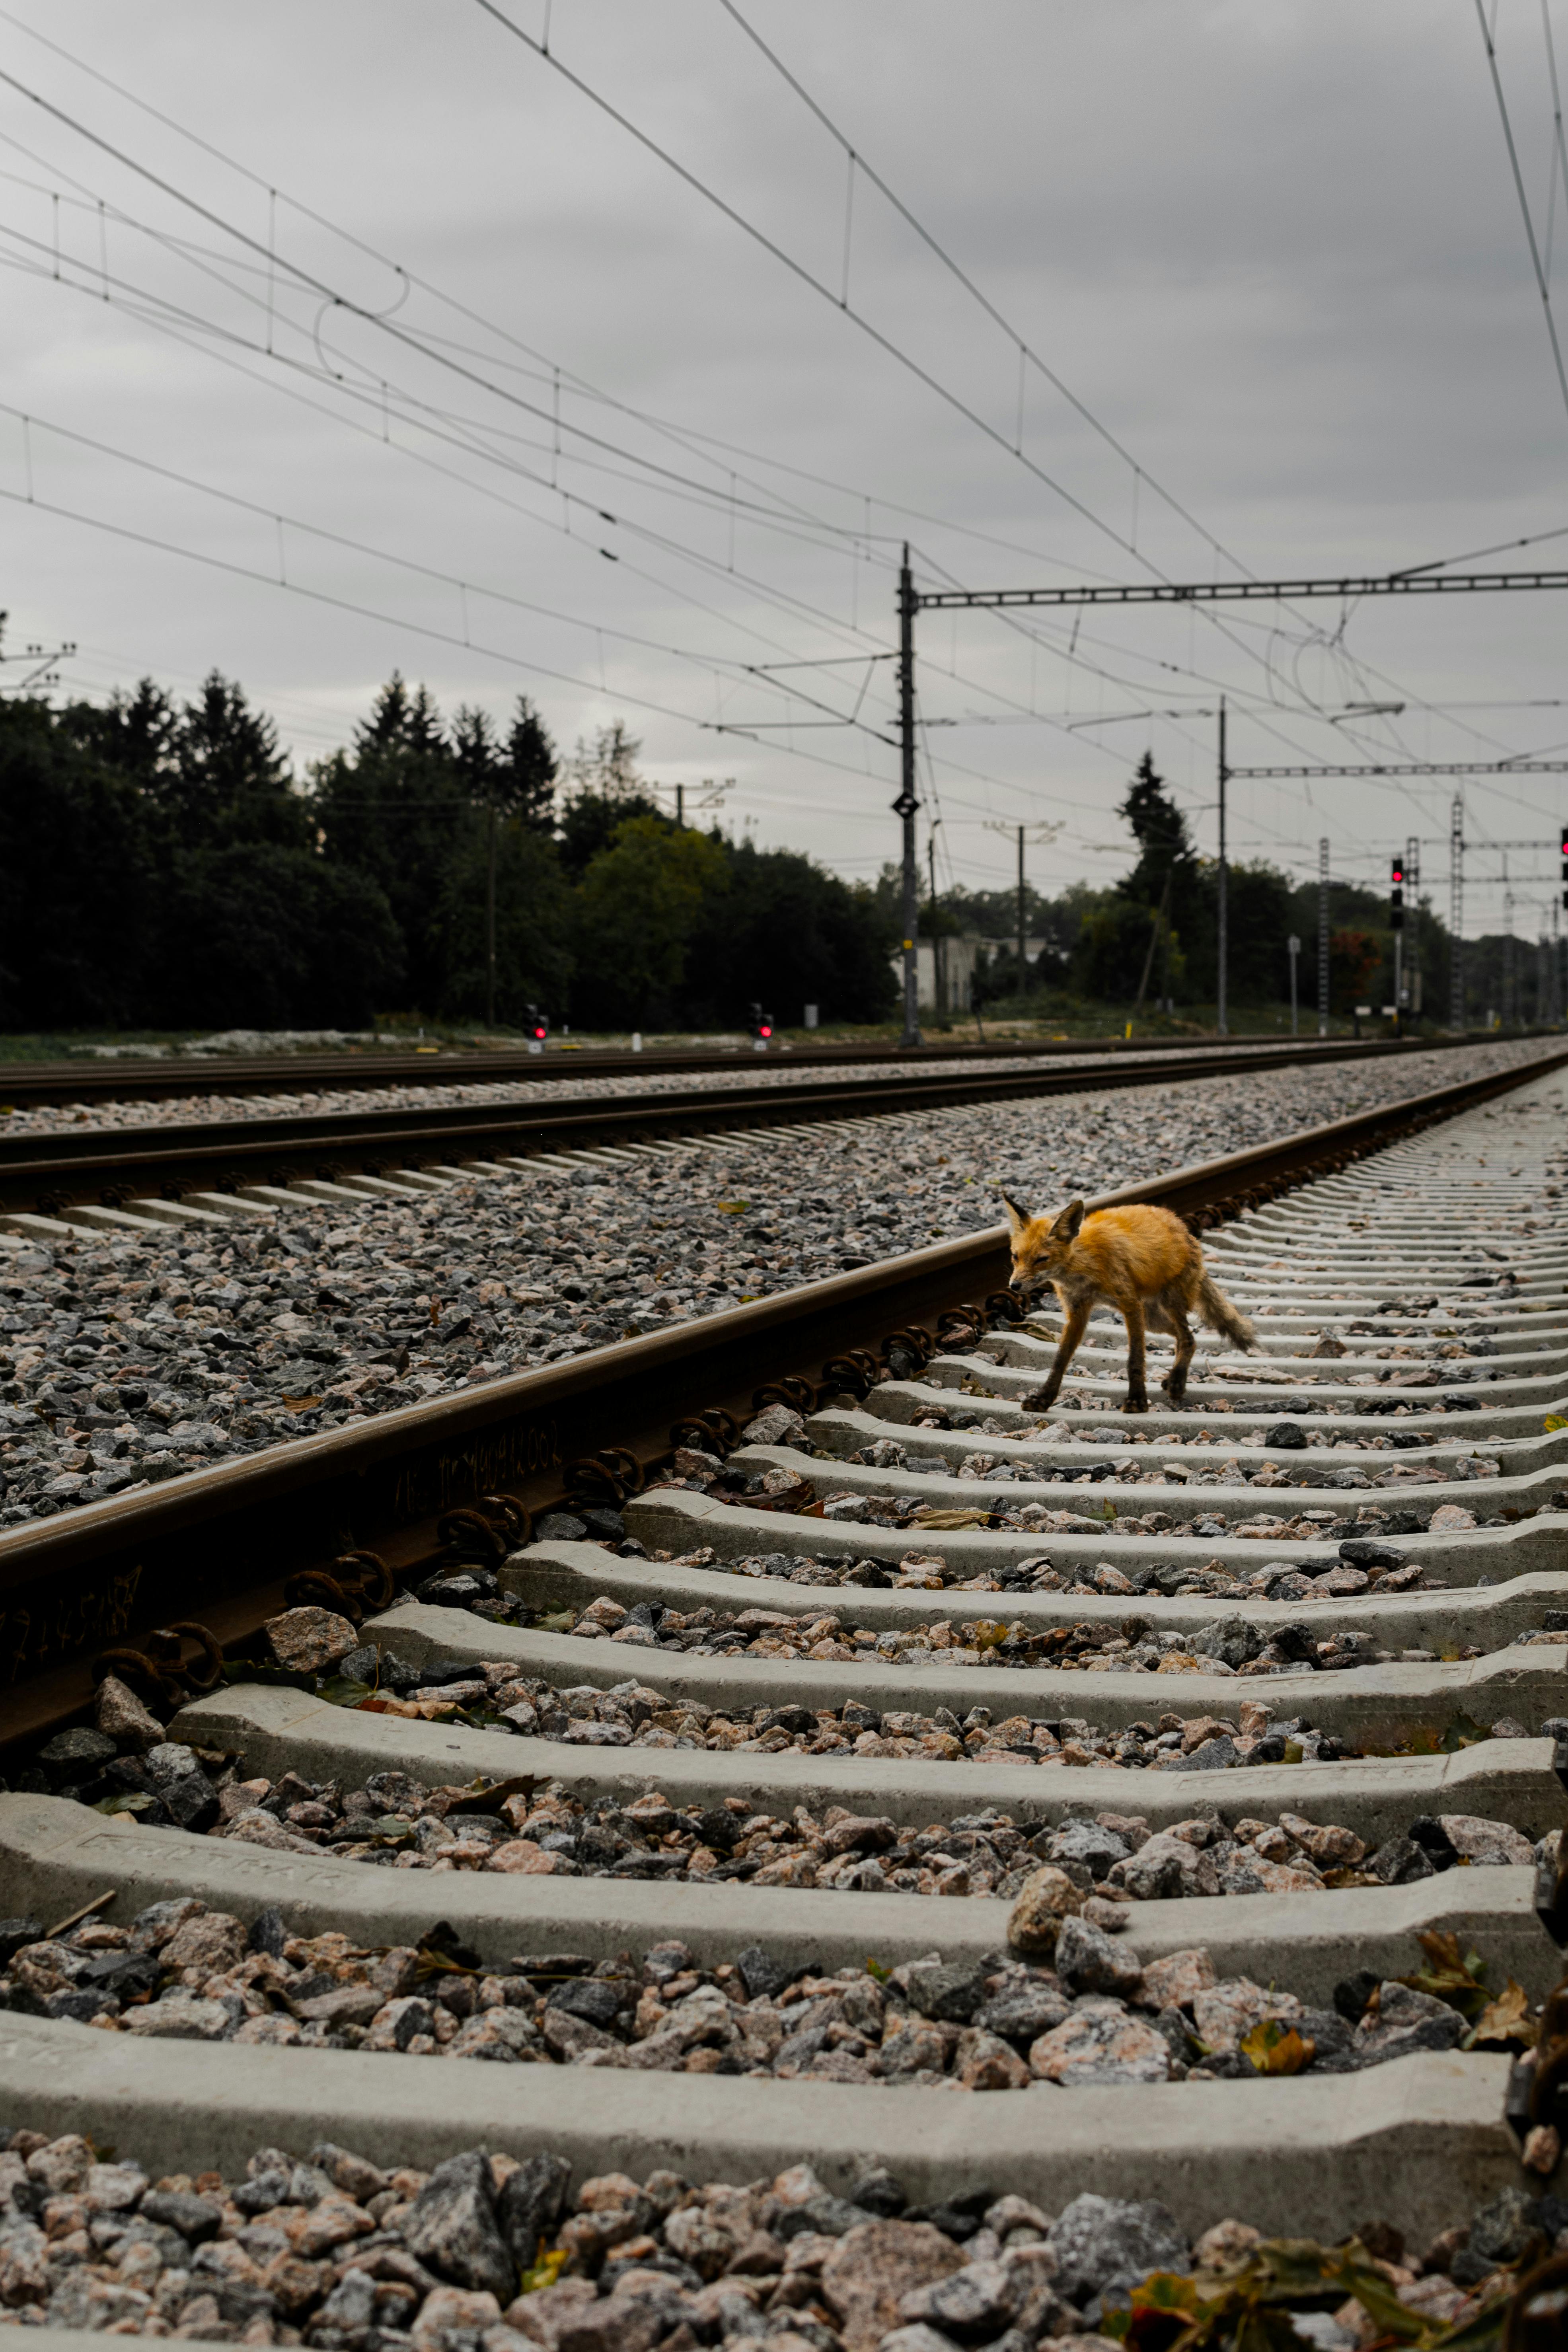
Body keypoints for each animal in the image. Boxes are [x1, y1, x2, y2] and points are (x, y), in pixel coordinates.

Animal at [1001, 1191, 1257, 1414]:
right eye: (1015, 1256)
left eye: (1041, 1259)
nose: (1014, 1286)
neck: (1084, 1267)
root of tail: (1185, 1230)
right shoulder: (1077, 1313)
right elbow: (1059, 1361)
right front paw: (1043, 1399)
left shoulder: (1130, 1305)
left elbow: (1135, 1359)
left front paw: (1137, 1401)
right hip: (1153, 1319)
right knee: (1186, 1338)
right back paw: (1175, 1378)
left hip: (1166, 1305)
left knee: (1188, 1338)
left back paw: (1177, 1382)